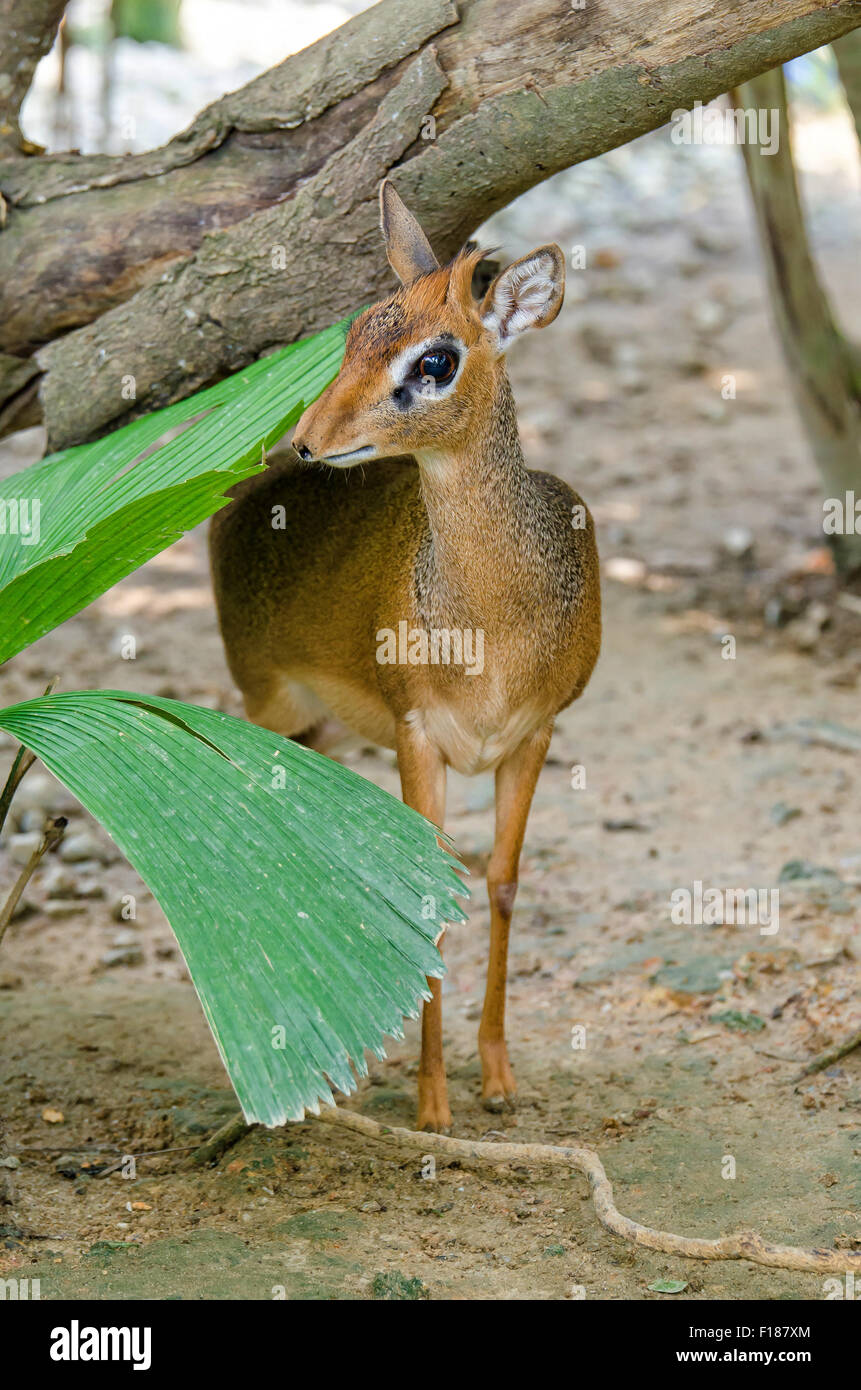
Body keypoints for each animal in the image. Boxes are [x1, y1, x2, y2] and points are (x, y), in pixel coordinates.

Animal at [210, 182, 601, 1132]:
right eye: (353, 331)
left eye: (436, 360)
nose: (308, 436)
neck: (492, 627)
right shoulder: (418, 733)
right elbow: (427, 897)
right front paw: (431, 1104)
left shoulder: (532, 736)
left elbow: (501, 883)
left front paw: (496, 1077)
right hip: (268, 704)